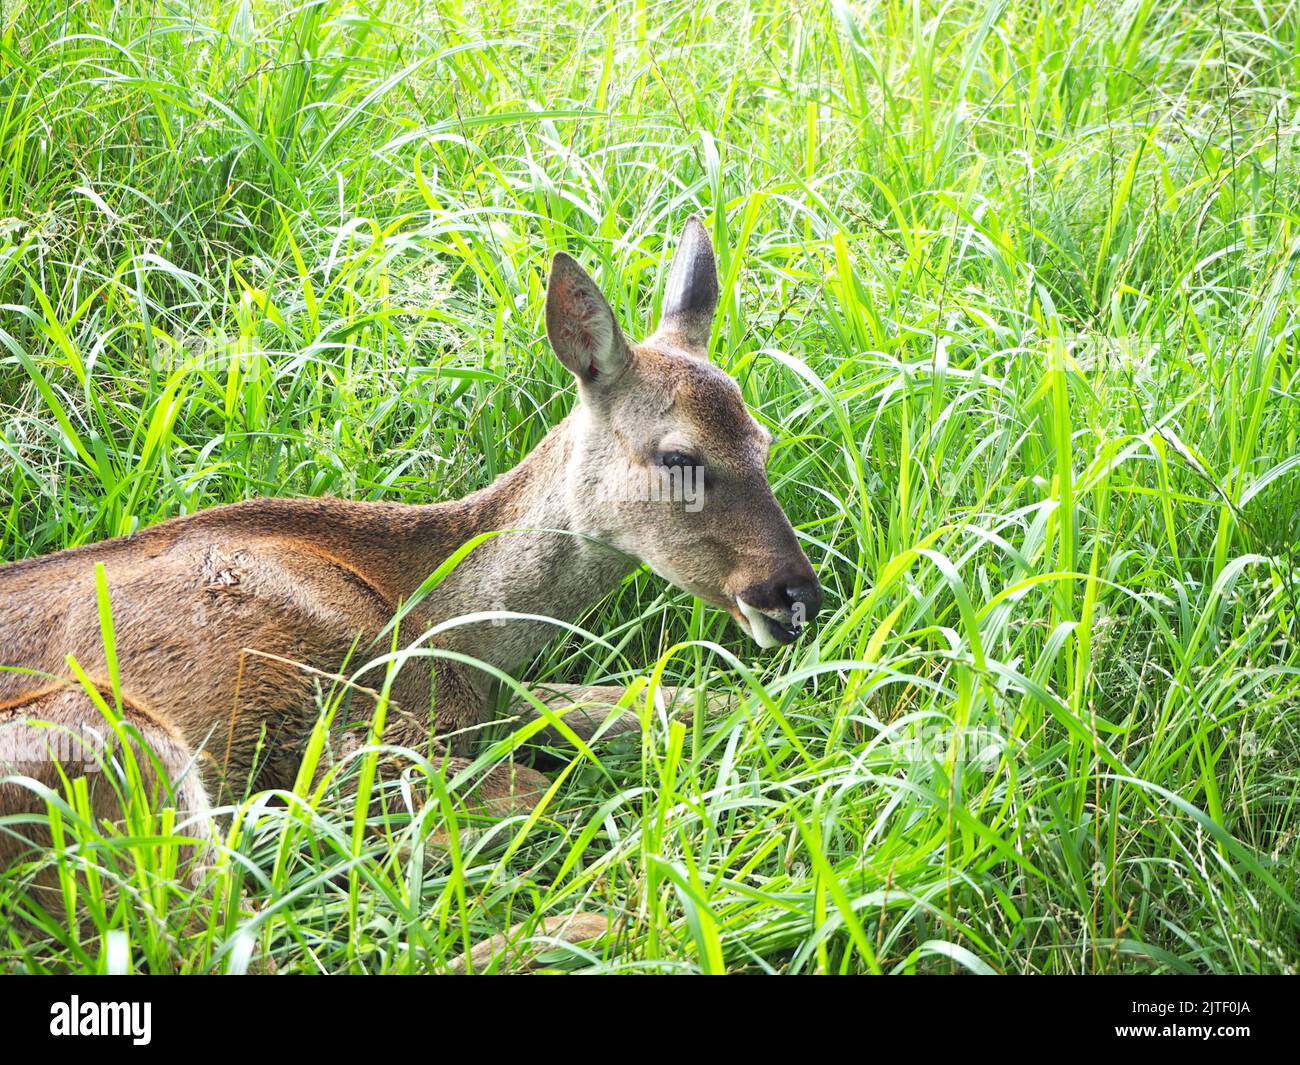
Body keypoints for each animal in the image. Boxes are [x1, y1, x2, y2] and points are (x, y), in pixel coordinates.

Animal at [0, 217, 823, 880]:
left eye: (764, 442)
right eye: (681, 456)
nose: (796, 595)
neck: (441, 613)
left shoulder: (492, 700)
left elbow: (661, 699)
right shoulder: (356, 739)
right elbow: (554, 799)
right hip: (114, 744)